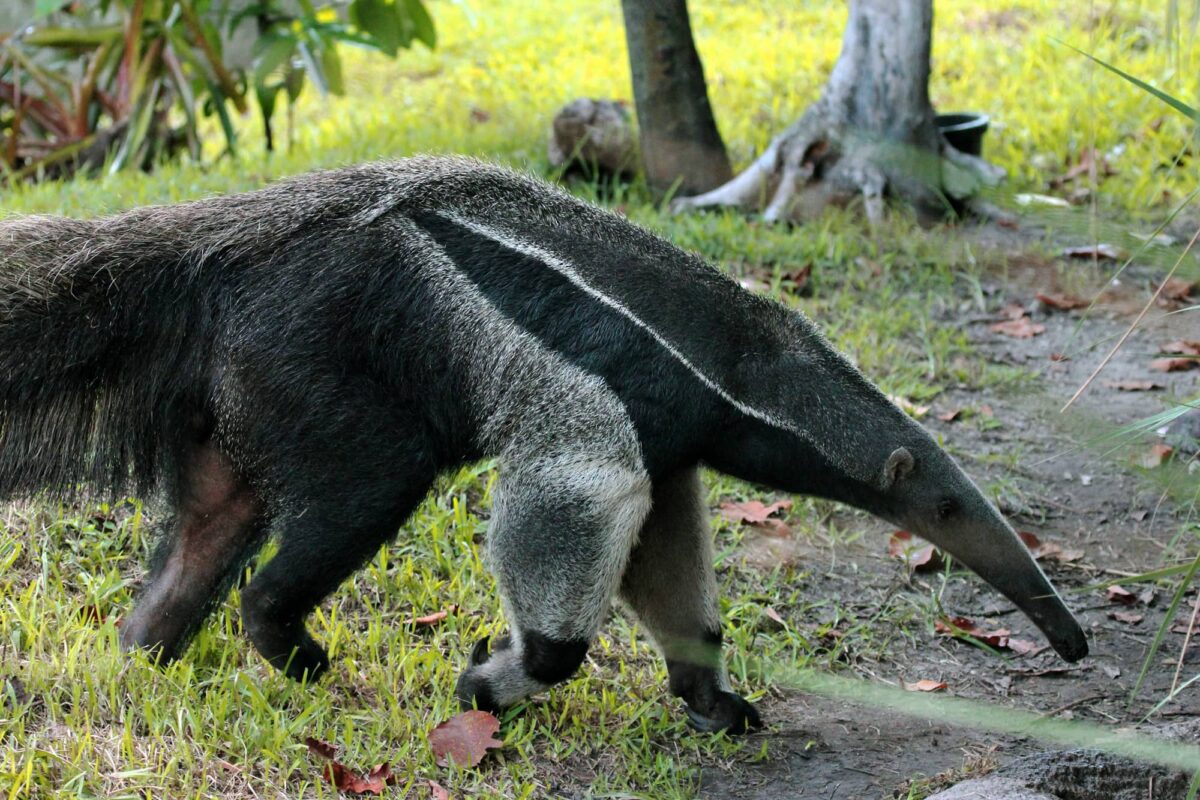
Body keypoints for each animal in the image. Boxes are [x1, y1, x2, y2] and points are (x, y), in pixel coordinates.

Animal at [0, 156, 1087, 734]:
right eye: (941, 503)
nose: (1070, 639)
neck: (721, 347)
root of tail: (225, 249)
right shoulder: (587, 377)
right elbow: (579, 502)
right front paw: (492, 677)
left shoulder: (665, 432)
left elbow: (668, 545)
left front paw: (714, 701)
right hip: (319, 353)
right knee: (360, 490)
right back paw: (289, 643)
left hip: (253, 388)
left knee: (212, 524)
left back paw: (143, 654)